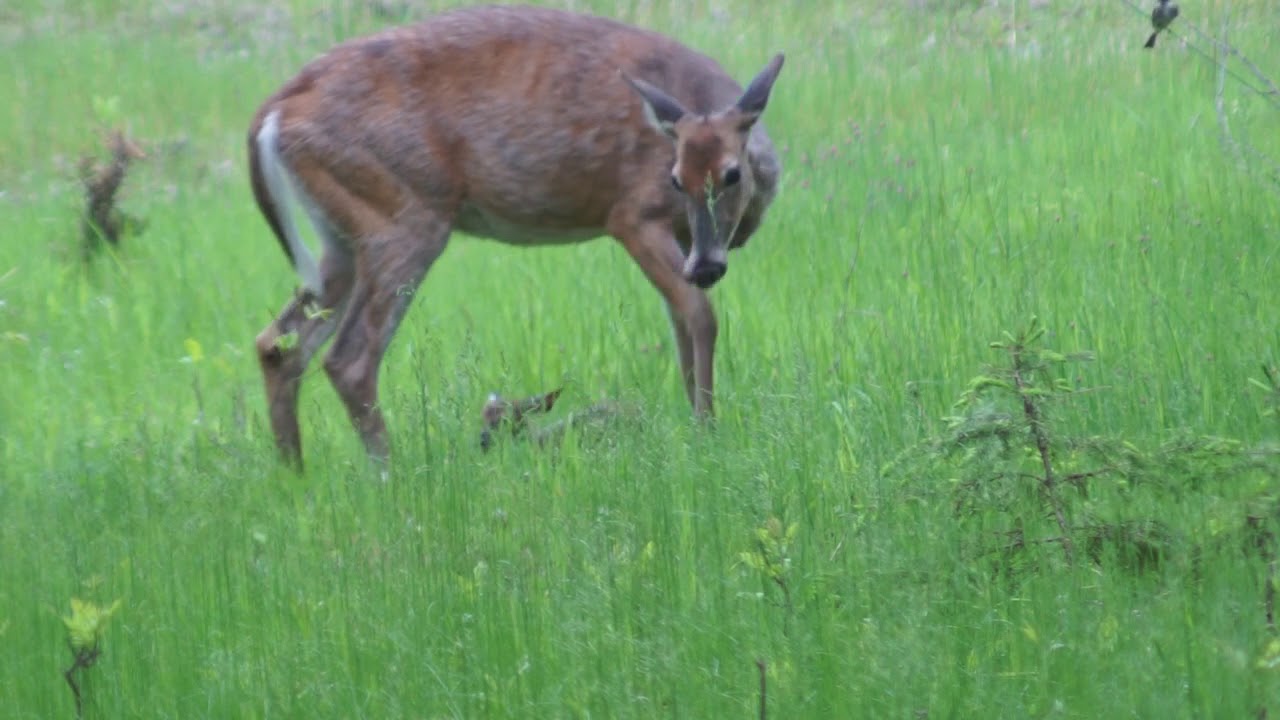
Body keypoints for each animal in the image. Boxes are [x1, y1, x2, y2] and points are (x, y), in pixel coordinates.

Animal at [248, 4, 785, 468]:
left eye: (731, 174)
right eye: (676, 179)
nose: (708, 266)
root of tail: (274, 112)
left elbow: (680, 323)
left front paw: (695, 420)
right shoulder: (631, 214)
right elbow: (699, 314)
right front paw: (707, 433)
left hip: (341, 236)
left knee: (278, 344)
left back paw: (294, 474)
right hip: (404, 215)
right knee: (350, 359)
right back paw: (390, 475)